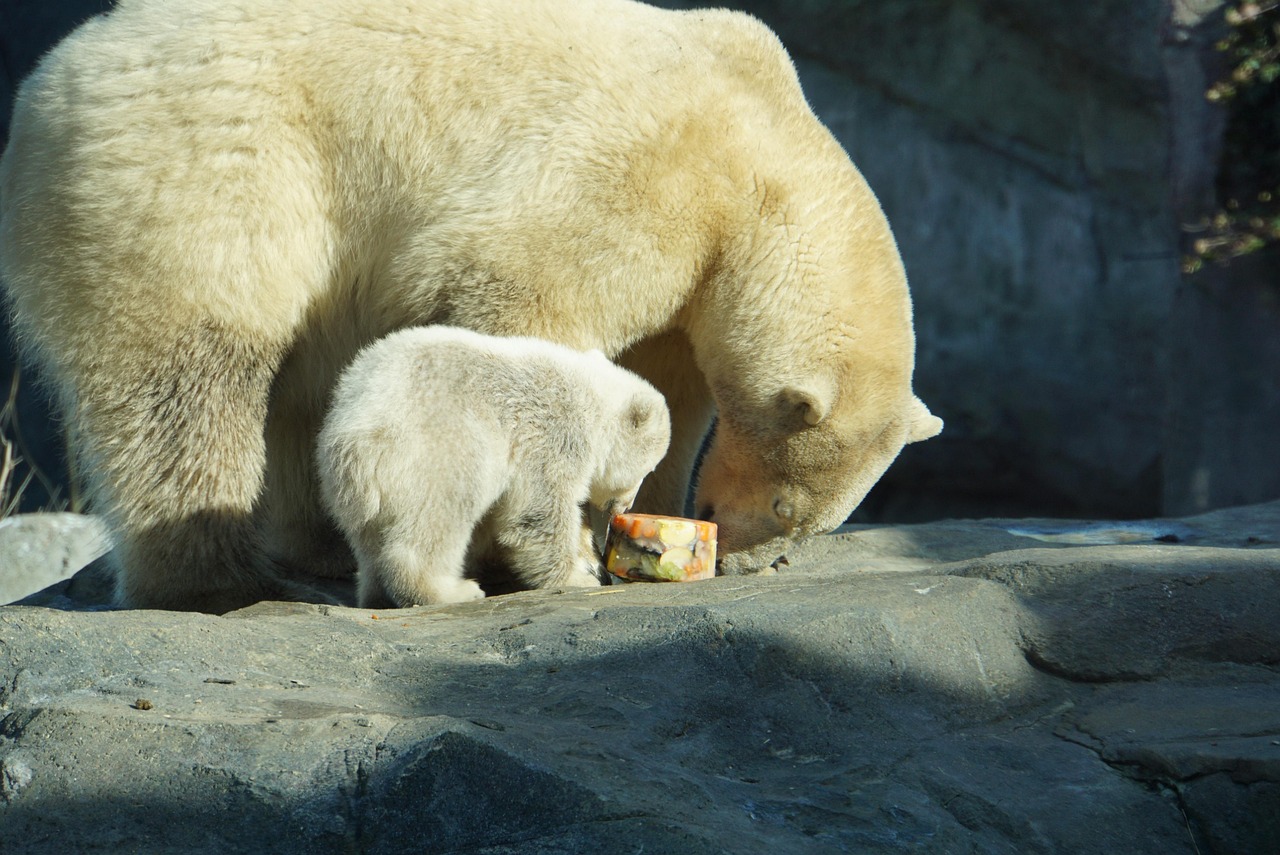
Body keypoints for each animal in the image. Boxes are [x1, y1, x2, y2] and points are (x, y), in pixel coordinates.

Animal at [315, 326, 671, 608]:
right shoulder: (550, 432)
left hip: (347, 483)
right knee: (444, 515)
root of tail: (361, 432)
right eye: (648, 470)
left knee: (369, 539)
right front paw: (578, 579)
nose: (624, 507)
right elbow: (538, 513)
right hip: (438, 451)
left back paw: (377, 596)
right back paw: (450, 591)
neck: (590, 394)